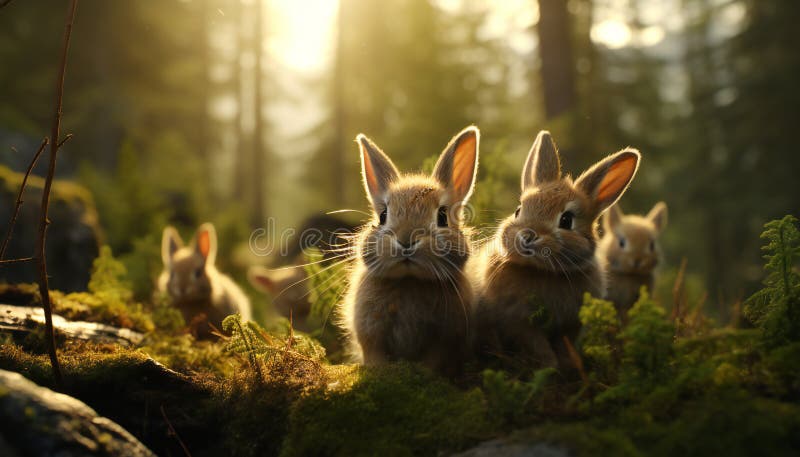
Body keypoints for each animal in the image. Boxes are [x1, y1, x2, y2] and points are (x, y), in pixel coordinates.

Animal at [341, 126, 480, 377]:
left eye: (442, 217)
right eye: (383, 215)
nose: (406, 240)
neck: (409, 280)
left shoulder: (443, 340)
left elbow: (433, 361)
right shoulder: (371, 335)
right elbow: (374, 355)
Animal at [469, 130, 640, 370]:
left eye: (566, 220)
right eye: (518, 210)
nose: (527, 235)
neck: (544, 271)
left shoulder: (569, 324)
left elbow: (562, 345)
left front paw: (569, 365)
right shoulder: (518, 322)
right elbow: (537, 344)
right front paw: (550, 366)